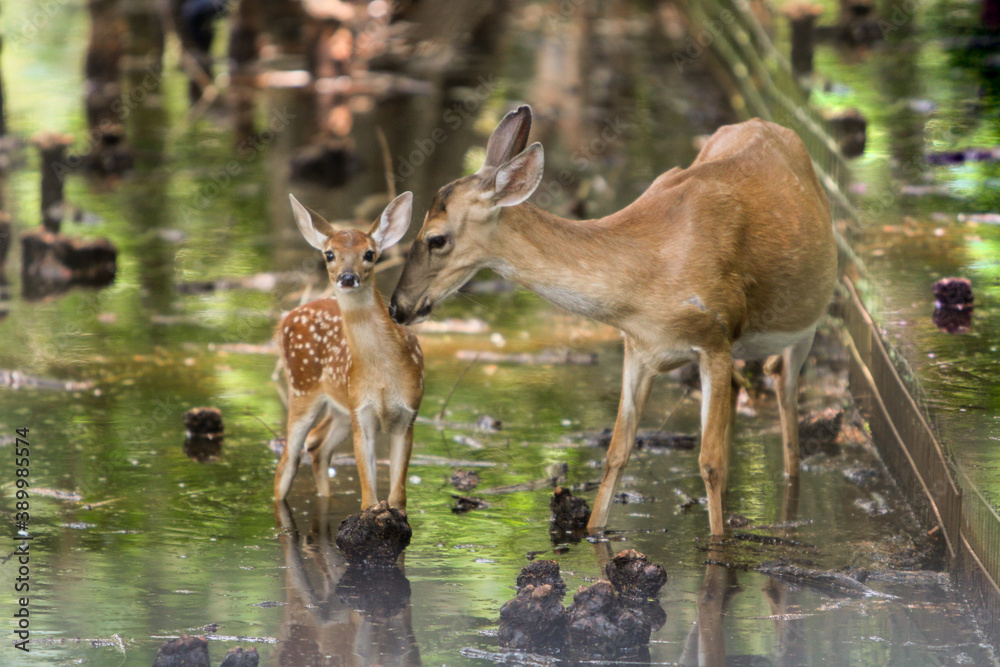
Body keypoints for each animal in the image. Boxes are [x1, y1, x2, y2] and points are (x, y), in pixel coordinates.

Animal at [274, 191, 424, 511]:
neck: (382, 377)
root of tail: (285, 319)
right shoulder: (361, 413)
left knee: (318, 446)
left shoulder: (408, 412)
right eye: (329, 254)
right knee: (288, 461)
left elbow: (398, 496)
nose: (347, 277)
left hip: (340, 407)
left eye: (369, 253)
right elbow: (368, 497)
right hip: (302, 388)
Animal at [388, 106, 837, 536]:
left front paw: (717, 542)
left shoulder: (716, 337)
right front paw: (593, 530)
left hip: (807, 318)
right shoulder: (638, 347)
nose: (398, 307)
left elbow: (709, 462)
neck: (648, 273)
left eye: (437, 239)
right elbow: (617, 453)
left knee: (784, 387)